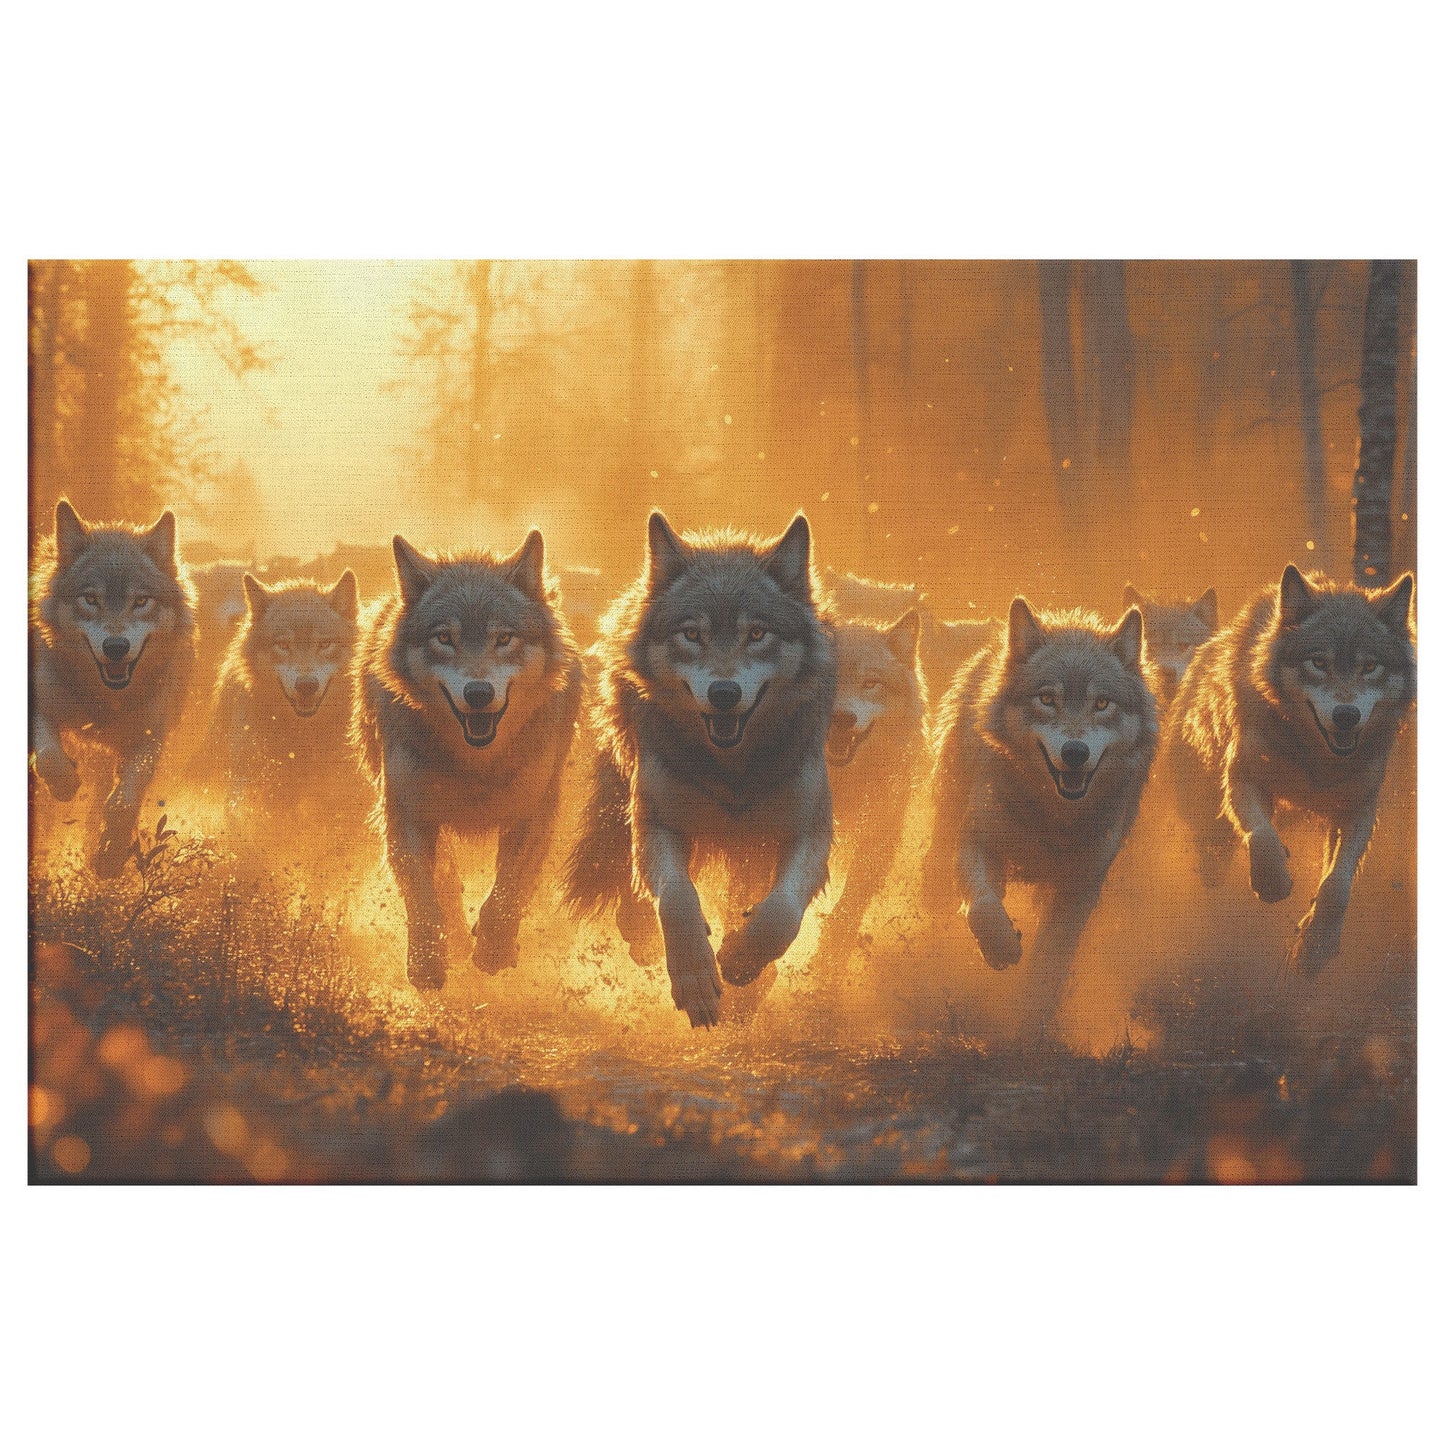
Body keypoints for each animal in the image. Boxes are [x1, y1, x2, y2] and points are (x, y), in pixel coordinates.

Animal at [30, 499, 197, 877]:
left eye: (141, 601)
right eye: (91, 599)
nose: (116, 647)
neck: (105, 701)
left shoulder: (151, 737)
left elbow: (123, 803)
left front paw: (110, 855)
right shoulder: (39, 703)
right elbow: (48, 756)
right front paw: (64, 785)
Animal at [353, 531, 582, 989]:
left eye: (503, 638)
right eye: (445, 638)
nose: (478, 693)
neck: (477, 764)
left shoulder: (534, 813)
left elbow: (508, 891)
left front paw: (494, 949)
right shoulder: (406, 815)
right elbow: (423, 895)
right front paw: (427, 962)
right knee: (445, 879)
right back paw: (455, 939)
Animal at [565, 513, 836, 1028]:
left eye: (757, 634)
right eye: (692, 634)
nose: (724, 693)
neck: (730, 771)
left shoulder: (807, 830)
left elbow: (782, 912)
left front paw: (742, 959)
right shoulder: (659, 823)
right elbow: (676, 899)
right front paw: (694, 981)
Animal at [923, 599, 1157, 1027]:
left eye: (1102, 703)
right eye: (1047, 699)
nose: (1075, 753)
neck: (1053, 820)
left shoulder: (1079, 888)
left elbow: (1050, 961)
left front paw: (1031, 1022)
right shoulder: (977, 841)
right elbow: (982, 906)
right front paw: (1000, 948)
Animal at [1166, 565, 1415, 975]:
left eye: (1370, 667)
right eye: (1318, 663)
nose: (1346, 716)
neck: (1316, 762)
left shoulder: (1360, 808)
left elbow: (1336, 885)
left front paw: (1314, 947)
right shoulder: (1242, 776)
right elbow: (1262, 837)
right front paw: (1273, 884)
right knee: (1213, 848)